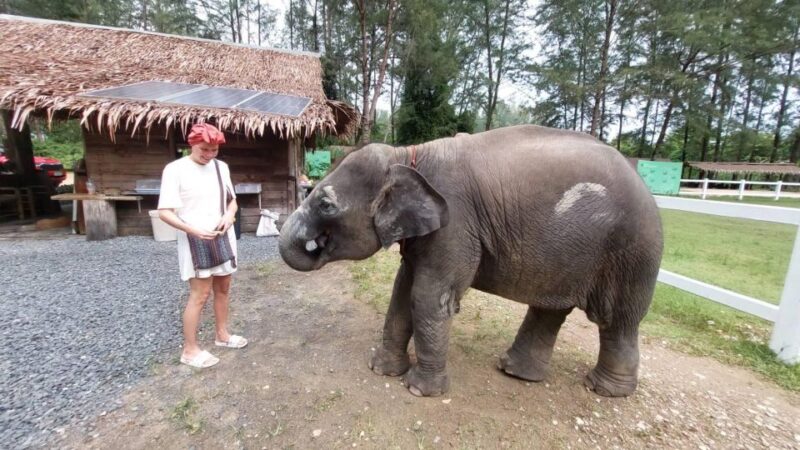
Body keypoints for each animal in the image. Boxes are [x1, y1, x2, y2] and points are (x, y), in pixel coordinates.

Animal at [278, 125, 663, 398]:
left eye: (326, 204)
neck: (409, 154)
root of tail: (646, 186)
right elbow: (403, 290)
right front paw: (381, 370)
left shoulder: (457, 224)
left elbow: (428, 297)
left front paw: (419, 390)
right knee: (550, 309)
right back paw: (515, 372)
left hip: (632, 254)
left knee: (617, 319)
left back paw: (604, 390)